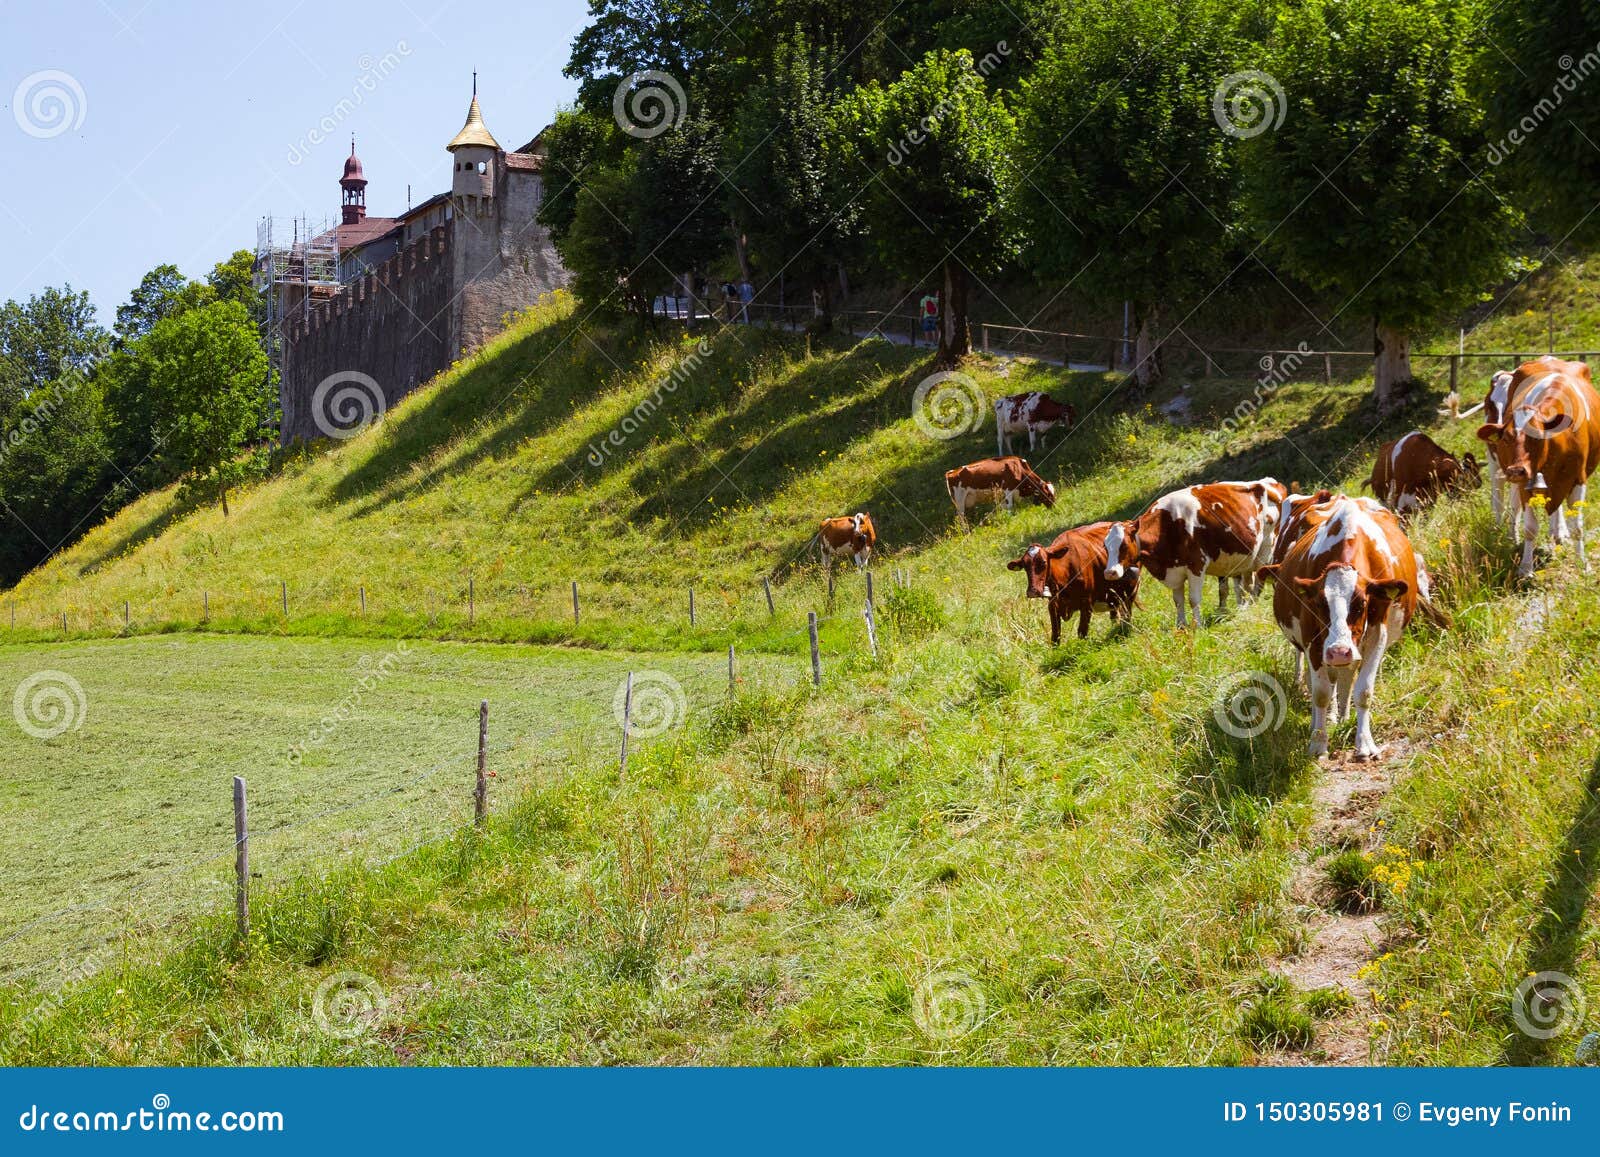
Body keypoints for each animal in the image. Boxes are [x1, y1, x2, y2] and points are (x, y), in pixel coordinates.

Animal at [1007, 521, 1139, 643]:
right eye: (1025, 566)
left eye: (1043, 562)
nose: (1032, 591)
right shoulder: (1053, 604)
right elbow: (1055, 636)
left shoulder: (1087, 603)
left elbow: (1082, 632)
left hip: (1130, 590)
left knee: (1127, 613)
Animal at [1103, 479, 1286, 627]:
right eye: (1105, 546)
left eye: (1124, 545)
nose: (1109, 572)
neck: (1167, 526)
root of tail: (1267, 482)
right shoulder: (1174, 571)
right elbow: (1178, 601)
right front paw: (1181, 625)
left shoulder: (1196, 565)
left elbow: (1193, 599)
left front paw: (1196, 625)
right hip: (1239, 557)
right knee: (1241, 583)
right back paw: (1239, 607)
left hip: (1266, 548)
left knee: (1257, 580)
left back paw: (1252, 604)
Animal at [1256, 497, 1420, 759]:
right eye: (1319, 604)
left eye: (1362, 604)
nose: (1339, 652)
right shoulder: (1313, 640)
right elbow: (1321, 692)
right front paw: (1318, 742)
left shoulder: (1377, 633)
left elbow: (1363, 690)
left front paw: (1364, 743)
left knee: (1346, 676)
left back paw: (1343, 716)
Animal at [1475, 360, 1600, 576]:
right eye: (1506, 438)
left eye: (1537, 437)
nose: (1516, 470)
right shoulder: (1525, 483)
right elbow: (1530, 528)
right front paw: (1525, 568)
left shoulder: (1578, 479)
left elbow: (1577, 527)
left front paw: (1583, 564)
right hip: (1496, 466)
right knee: (1501, 501)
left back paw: (1558, 533)